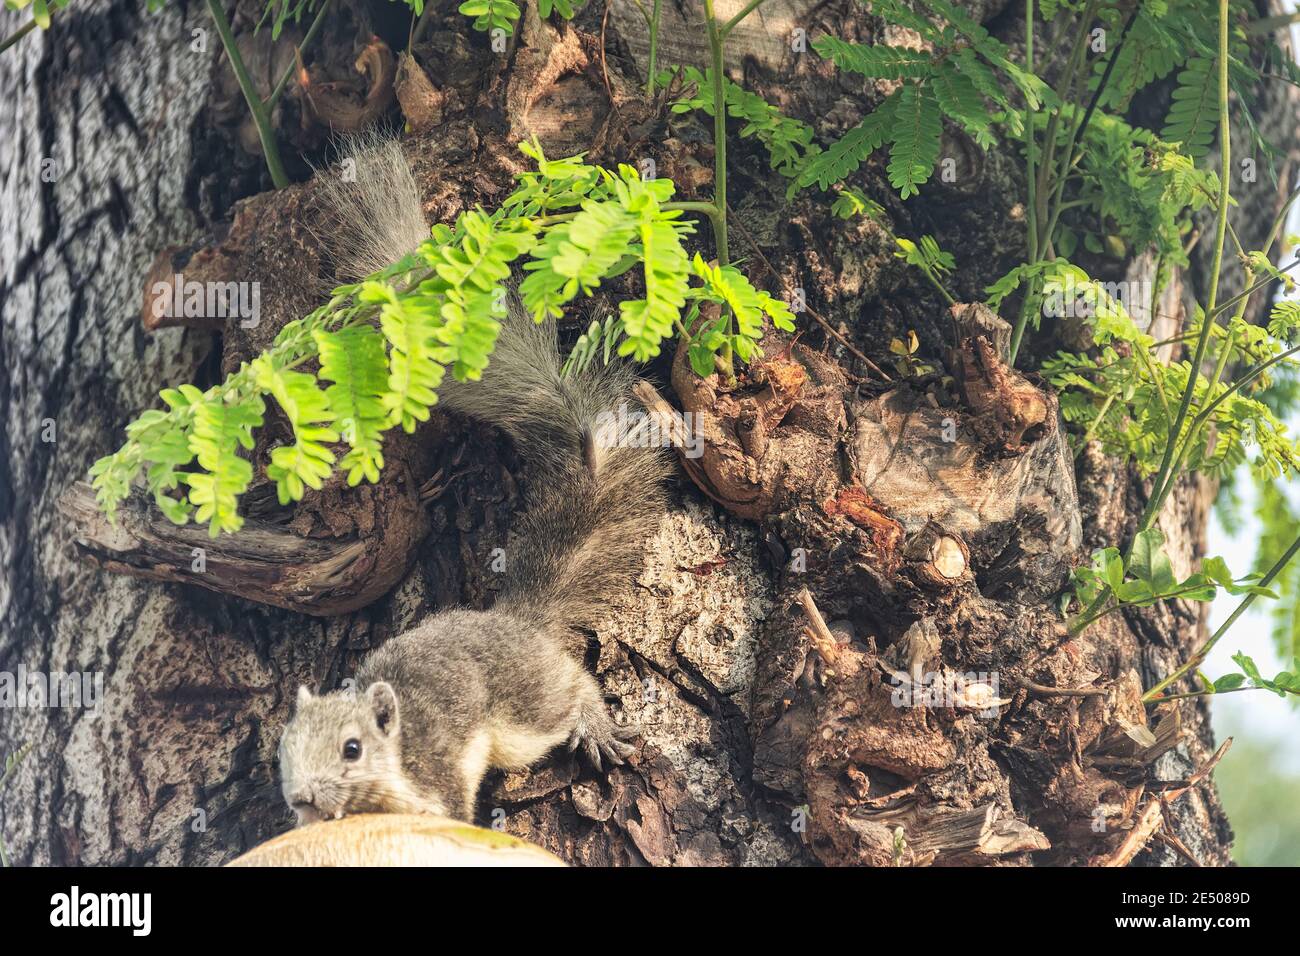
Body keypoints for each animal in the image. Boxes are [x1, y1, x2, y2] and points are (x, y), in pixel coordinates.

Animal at [277, 138, 670, 825]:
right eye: (284, 750)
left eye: (353, 749)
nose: (302, 797)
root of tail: (517, 622)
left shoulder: (438, 788)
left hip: (526, 711)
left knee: (571, 691)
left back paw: (594, 724)